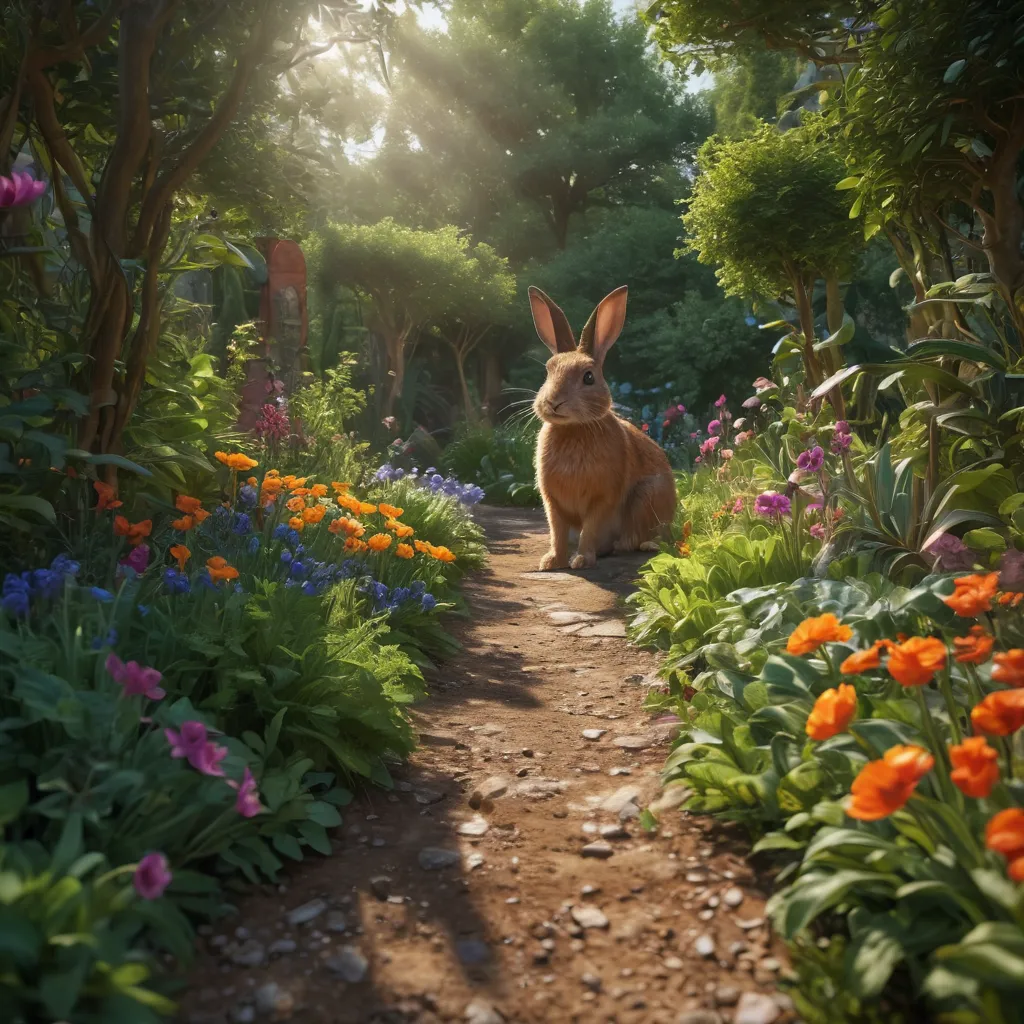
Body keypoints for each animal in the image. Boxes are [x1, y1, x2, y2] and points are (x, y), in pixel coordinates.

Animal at [528, 285, 677, 571]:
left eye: (588, 377)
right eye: (548, 371)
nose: (554, 402)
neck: (574, 428)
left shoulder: (602, 498)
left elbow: (590, 529)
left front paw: (581, 561)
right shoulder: (552, 501)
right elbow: (557, 531)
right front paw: (551, 562)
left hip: (645, 497)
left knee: (640, 539)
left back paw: (636, 545)